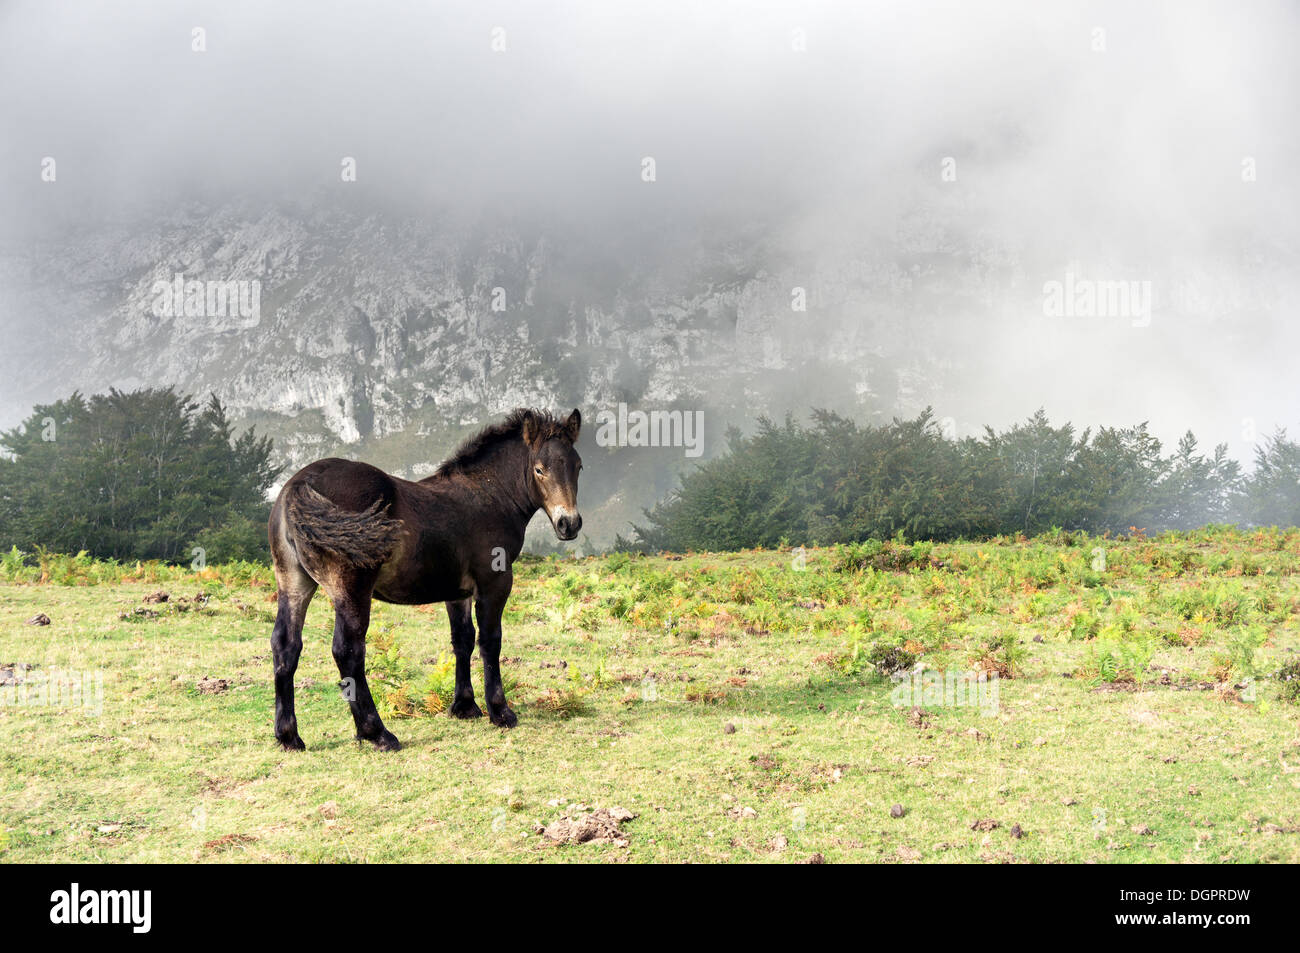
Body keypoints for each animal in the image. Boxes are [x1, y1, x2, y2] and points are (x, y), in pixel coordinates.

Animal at [266, 408, 583, 751]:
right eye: (540, 469)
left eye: (578, 466)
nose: (569, 524)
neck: (489, 494)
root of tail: (300, 484)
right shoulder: (494, 581)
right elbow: (490, 641)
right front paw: (500, 712)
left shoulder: (457, 591)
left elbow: (462, 639)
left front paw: (465, 706)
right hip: (351, 588)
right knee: (347, 650)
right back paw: (377, 732)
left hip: (293, 582)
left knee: (286, 645)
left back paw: (289, 736)